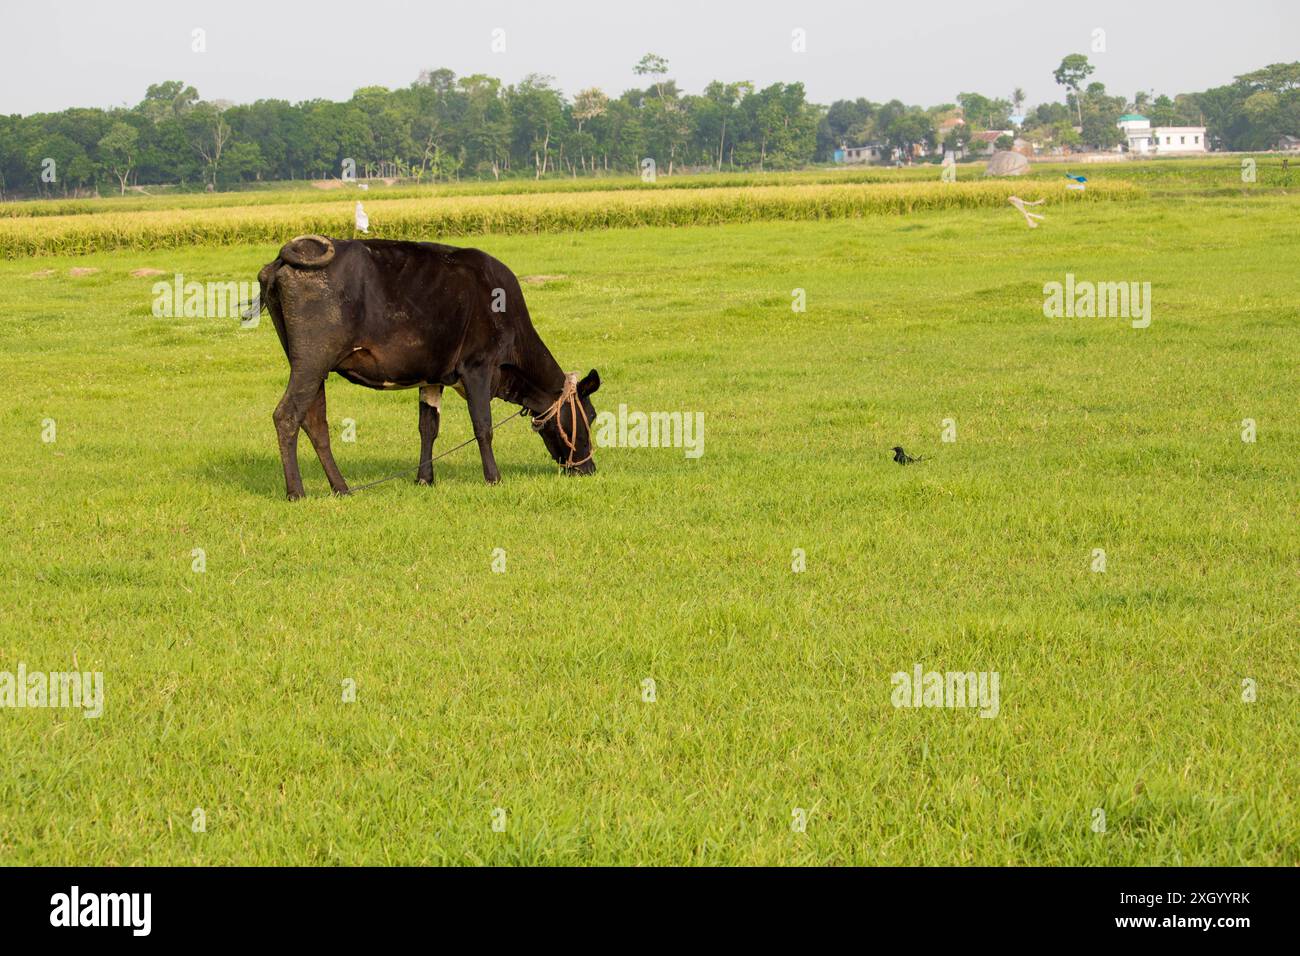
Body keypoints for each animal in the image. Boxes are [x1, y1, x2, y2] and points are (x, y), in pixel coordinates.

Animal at [253, 235, 600, 499]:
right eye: (592, 416)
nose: (589, 468)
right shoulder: (478, 366)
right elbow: (483, 426)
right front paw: (494, 477)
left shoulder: (432, 375)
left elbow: (428, 426)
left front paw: (424, 478)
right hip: (312, 361)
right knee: (287, 415)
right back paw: (296, 492)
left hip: (310, 365)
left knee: (315, 421)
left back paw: (342, 488)